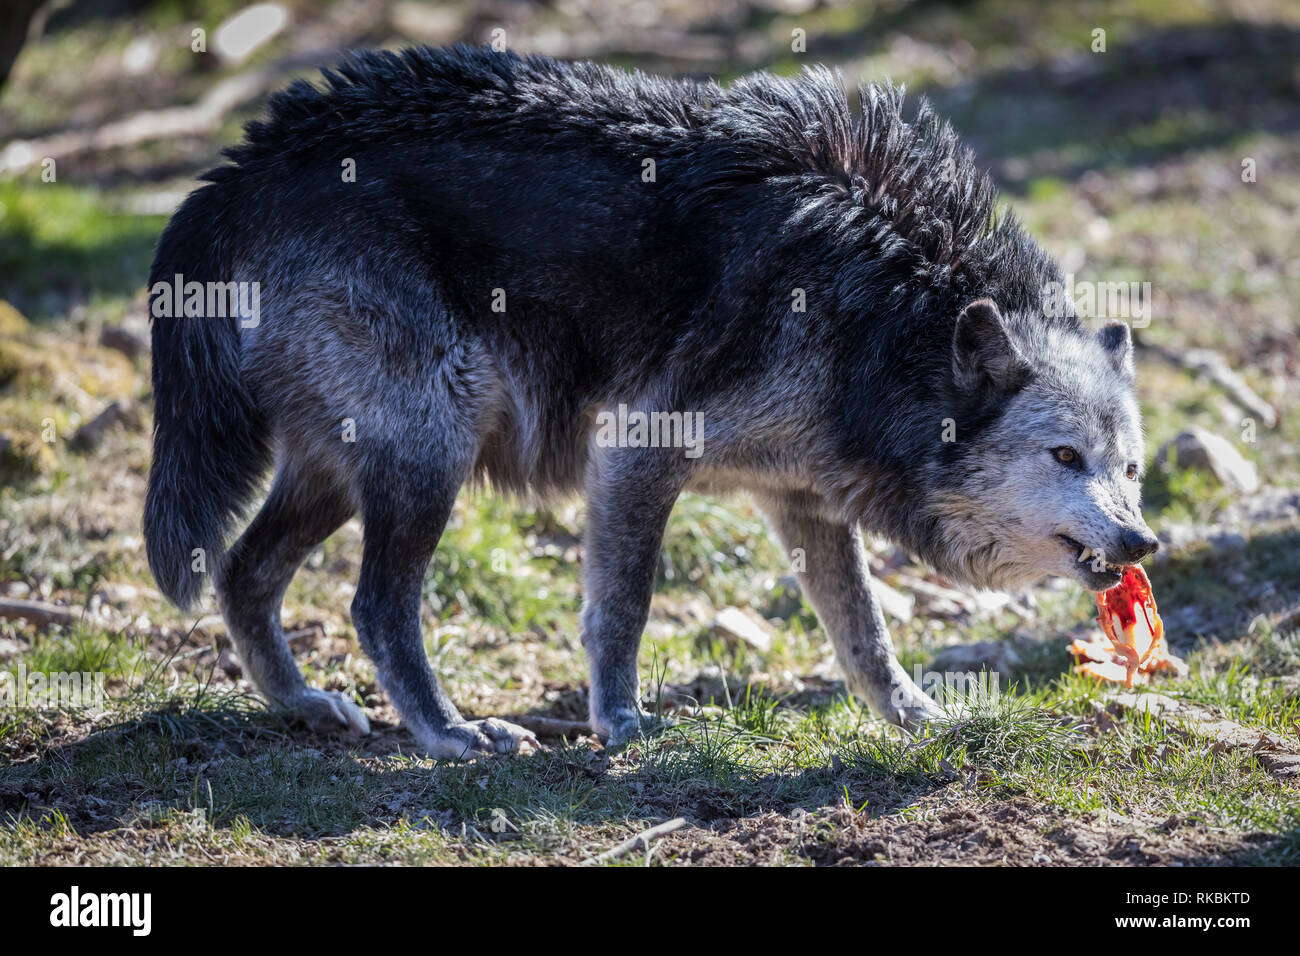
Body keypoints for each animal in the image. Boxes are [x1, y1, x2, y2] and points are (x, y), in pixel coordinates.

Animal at [143, 45, 1158, 758]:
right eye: (1065, 457)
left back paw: (306, 707)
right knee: (374, 607)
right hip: (431, 454)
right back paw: (450, 733)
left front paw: (915, 719)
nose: (1143, 541)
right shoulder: (638, 450)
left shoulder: (805, 502)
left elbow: (864, 635)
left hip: (340, 470)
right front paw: (623, 722)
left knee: (243, 572)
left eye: (1132, 468)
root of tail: (243, 167)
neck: (883, 303)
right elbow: (622, 608)